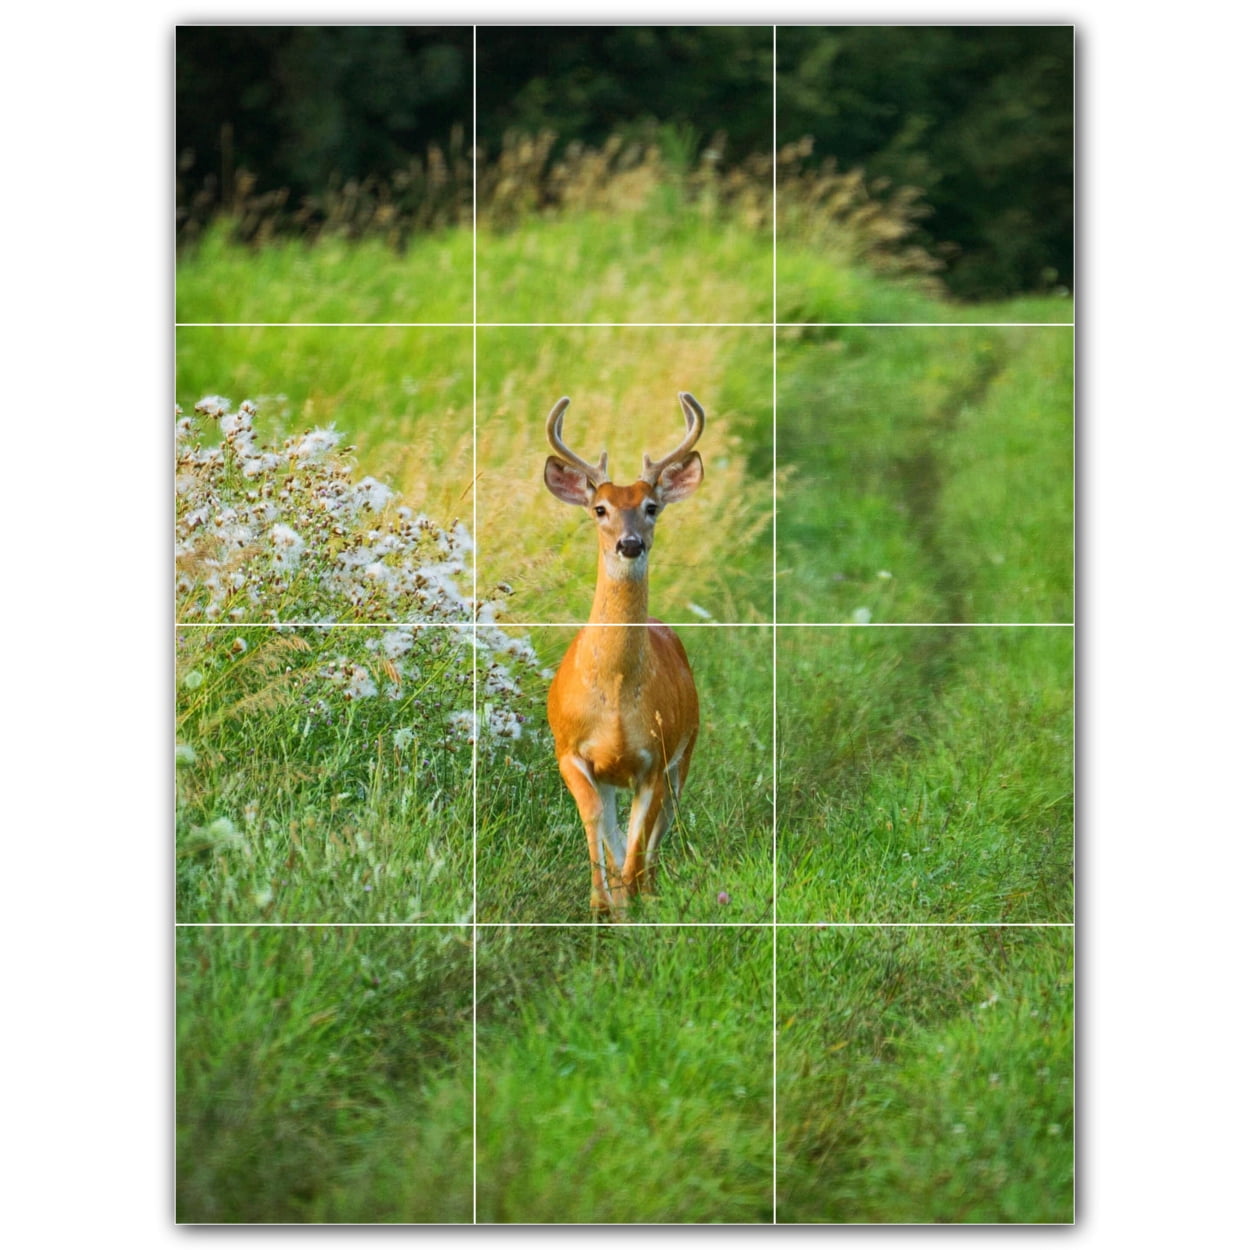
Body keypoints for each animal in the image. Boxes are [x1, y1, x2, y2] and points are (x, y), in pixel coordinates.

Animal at [543, 392, 705, 916]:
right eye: (600, 508)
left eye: (651, 506)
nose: (629, 543)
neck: (614, 693)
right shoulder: (569, 750)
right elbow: (599, 825)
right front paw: (601, 901)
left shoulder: (654, 757)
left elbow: (637, 842)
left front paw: (630, 904)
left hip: (686, 750)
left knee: (658, 830)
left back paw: (647, 892)